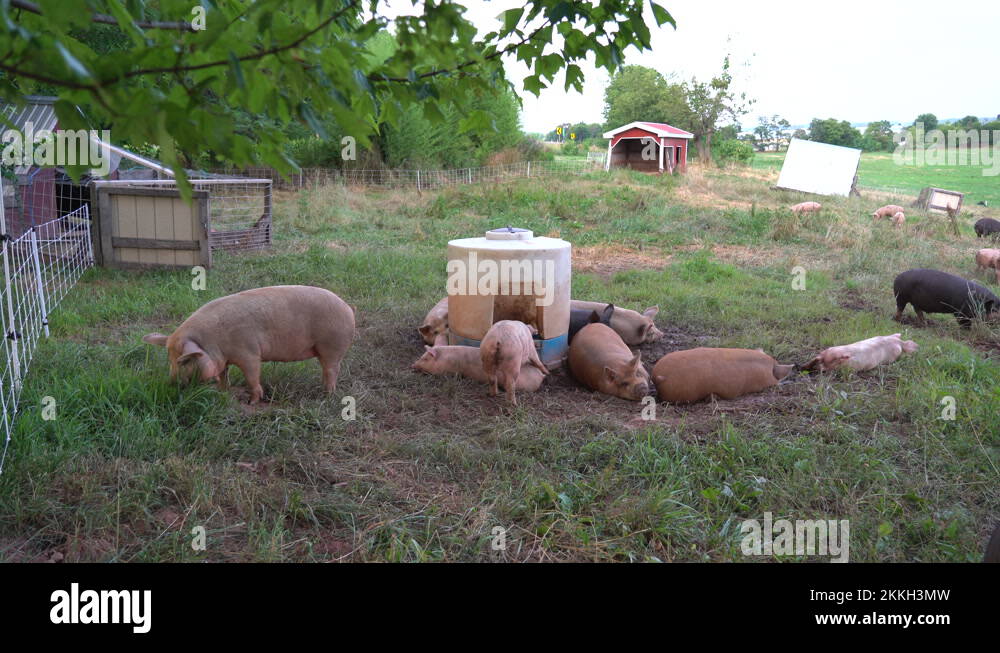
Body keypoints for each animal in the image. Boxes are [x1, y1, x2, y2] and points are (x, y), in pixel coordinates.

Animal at [142, 285, 354, 404]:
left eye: (184, 361)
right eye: (170, 360)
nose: (170, 384)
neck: (213, 342)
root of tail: (348, 310)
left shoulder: (249, 353)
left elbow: (252, 378)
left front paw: (252, 403)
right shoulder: (223, 359)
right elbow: (223, 376)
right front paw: (224, 393)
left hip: (331, 346)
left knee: (332, 370)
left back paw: (326, 396)